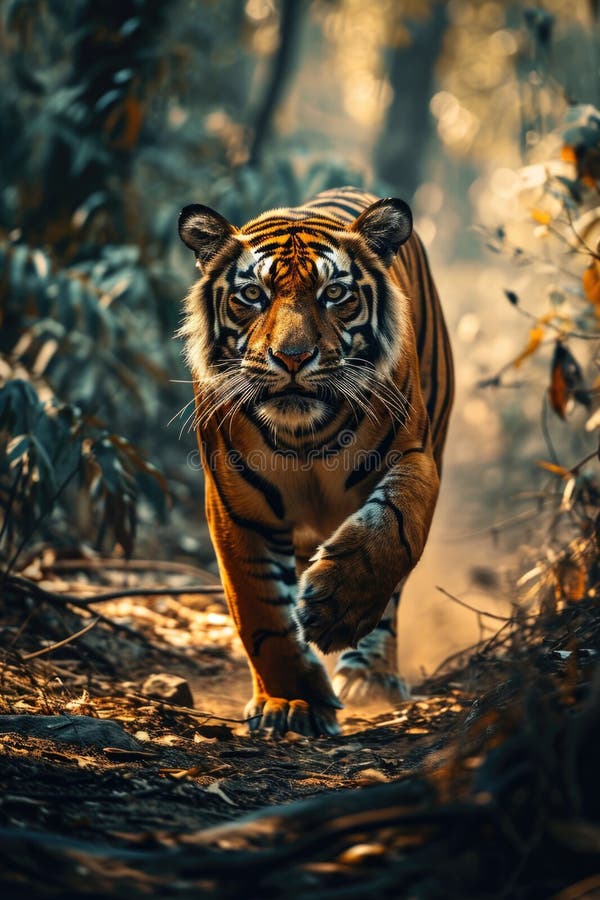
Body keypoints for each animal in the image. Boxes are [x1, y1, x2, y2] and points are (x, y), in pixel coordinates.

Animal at [178, 186, 453, 737]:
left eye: (334, 294)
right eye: (252, 295)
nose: (293, 357)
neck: (304, 435)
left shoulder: (415, 456)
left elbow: (391, 532)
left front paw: (334, 608)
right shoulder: (237, 509)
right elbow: (261, 612)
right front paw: (293, 701)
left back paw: (370, 675)